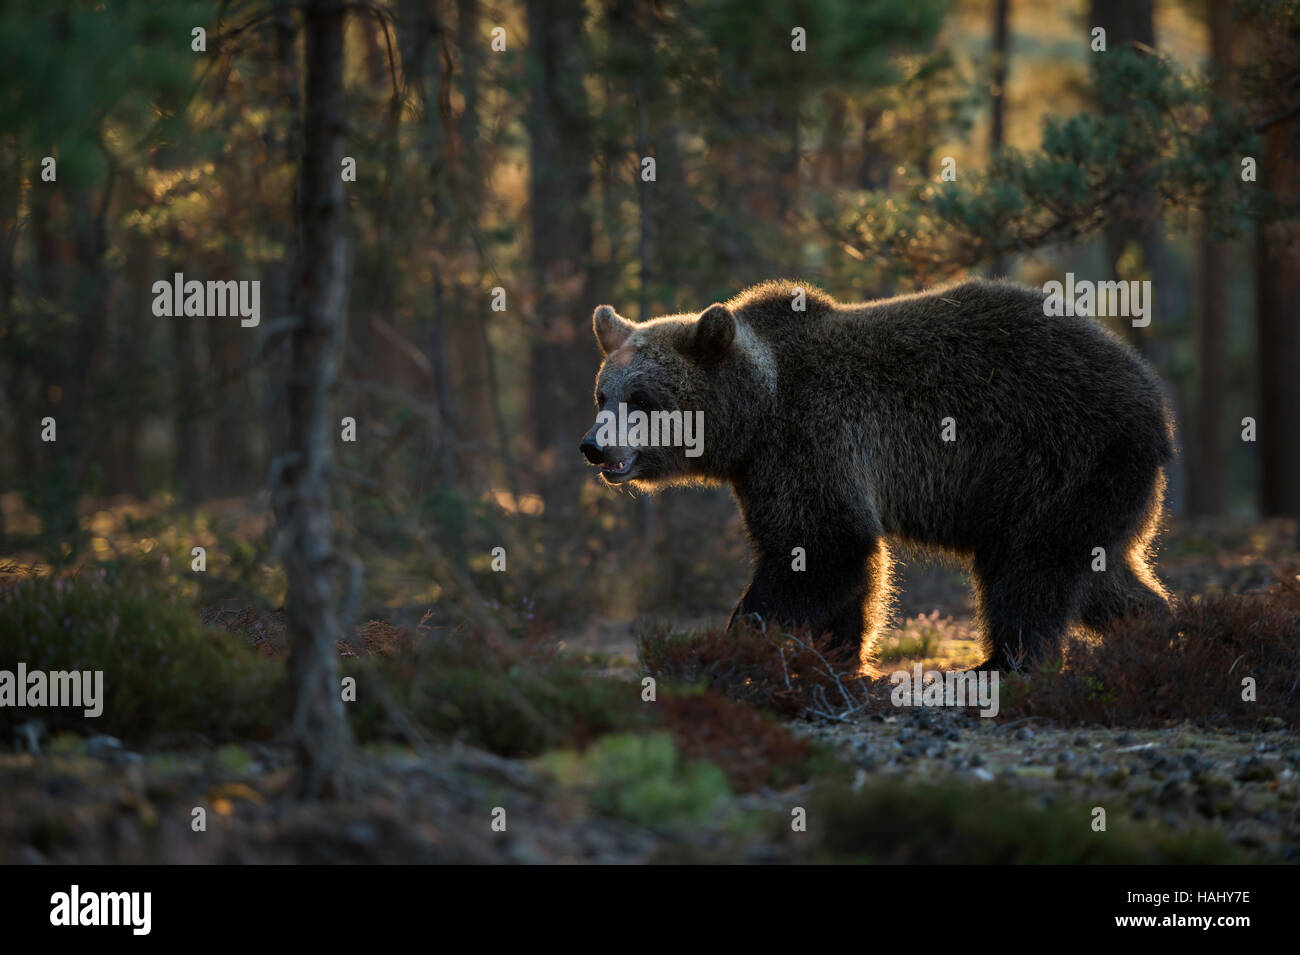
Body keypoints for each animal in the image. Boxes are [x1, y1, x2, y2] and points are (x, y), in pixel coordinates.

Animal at [579, 279, 1173, 672]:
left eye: (642, 398)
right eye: (603, 394)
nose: (593, 447)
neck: (756, 413)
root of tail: (1153, 396)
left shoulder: (811, 438)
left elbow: (823, 545)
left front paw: (735, 641)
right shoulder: (767, 470)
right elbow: (836, 560)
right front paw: (839, 651)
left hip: (1058, 453)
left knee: (1028, 566)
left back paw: (1001, 664)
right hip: (1091, 481)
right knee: (1098, 572)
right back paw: (1156, 630)